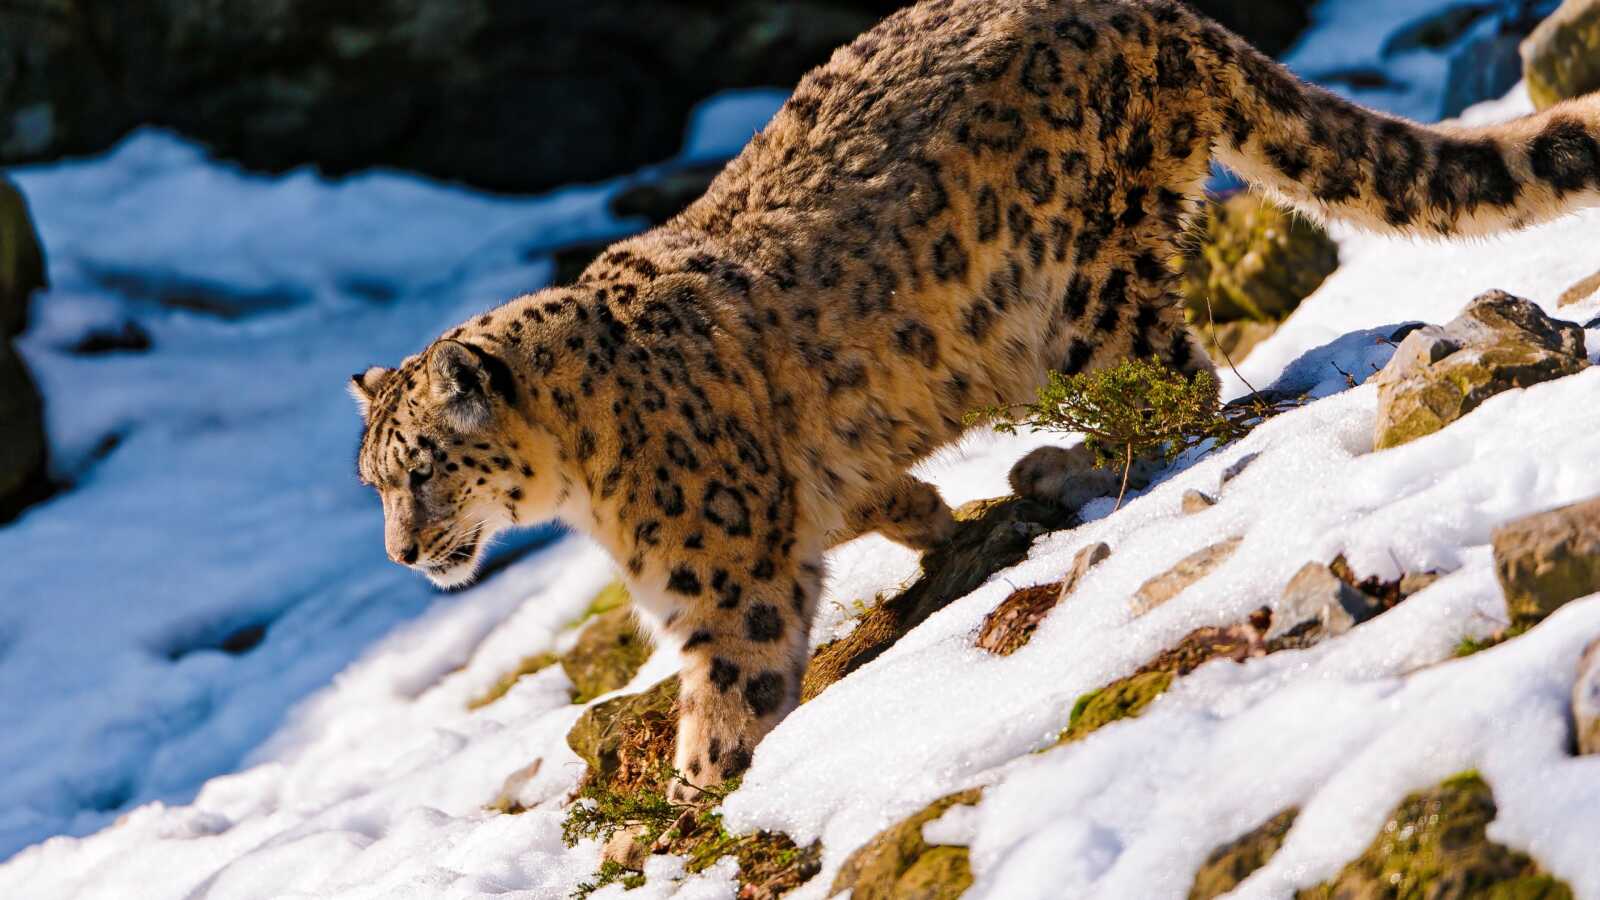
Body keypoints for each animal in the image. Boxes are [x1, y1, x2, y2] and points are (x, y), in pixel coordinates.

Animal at [352, 0, 1600, 802]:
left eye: (421, 471)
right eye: (374, 482)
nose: (405, 555)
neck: (582, 476)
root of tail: (1140, 10)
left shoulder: (723, 564)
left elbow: (736, 662)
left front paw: (701, 774)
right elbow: (863, 494)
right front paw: (916, 515)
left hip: (1086, 292)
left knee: (1178, 387)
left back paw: (1057, 467)